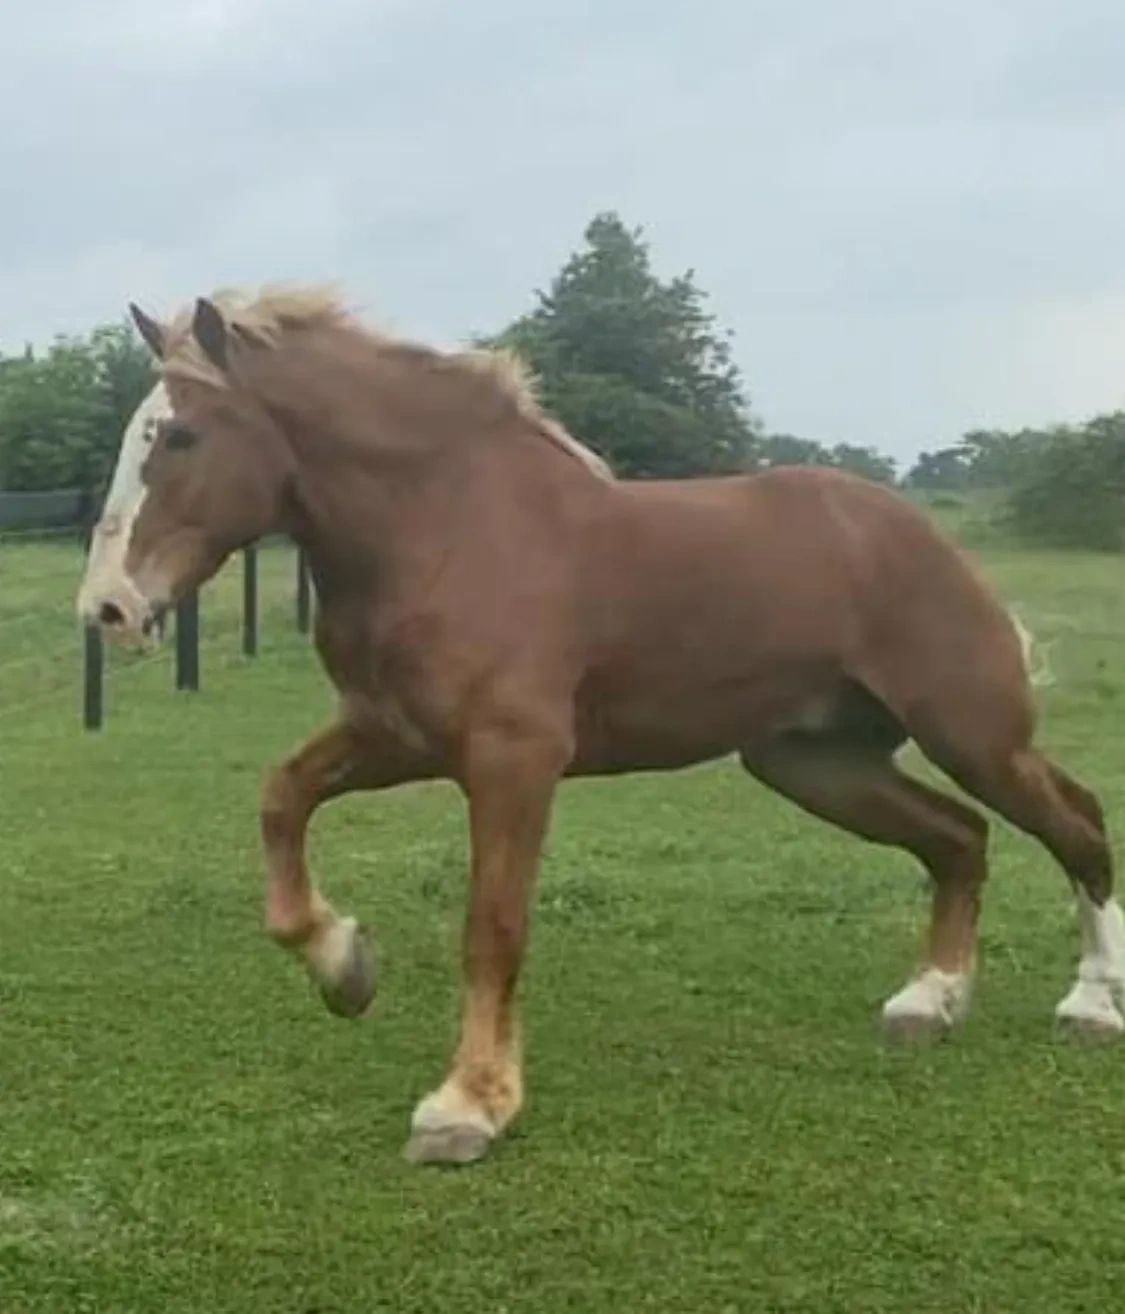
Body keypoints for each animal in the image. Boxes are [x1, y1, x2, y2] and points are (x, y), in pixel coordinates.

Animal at [77, 285, 1125, 1166]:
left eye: (181, 436)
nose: (109, 609)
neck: (445, 530)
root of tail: (922, 535)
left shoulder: (514, 758)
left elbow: (491, 923)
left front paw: (469, 1108)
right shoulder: (394, 736)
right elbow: (281, 801)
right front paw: (345, 969)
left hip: (971, 735)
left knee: (1073, 822)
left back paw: (1089, 1005)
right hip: (812, 762)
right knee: (959, 838)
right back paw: (927, 1003)